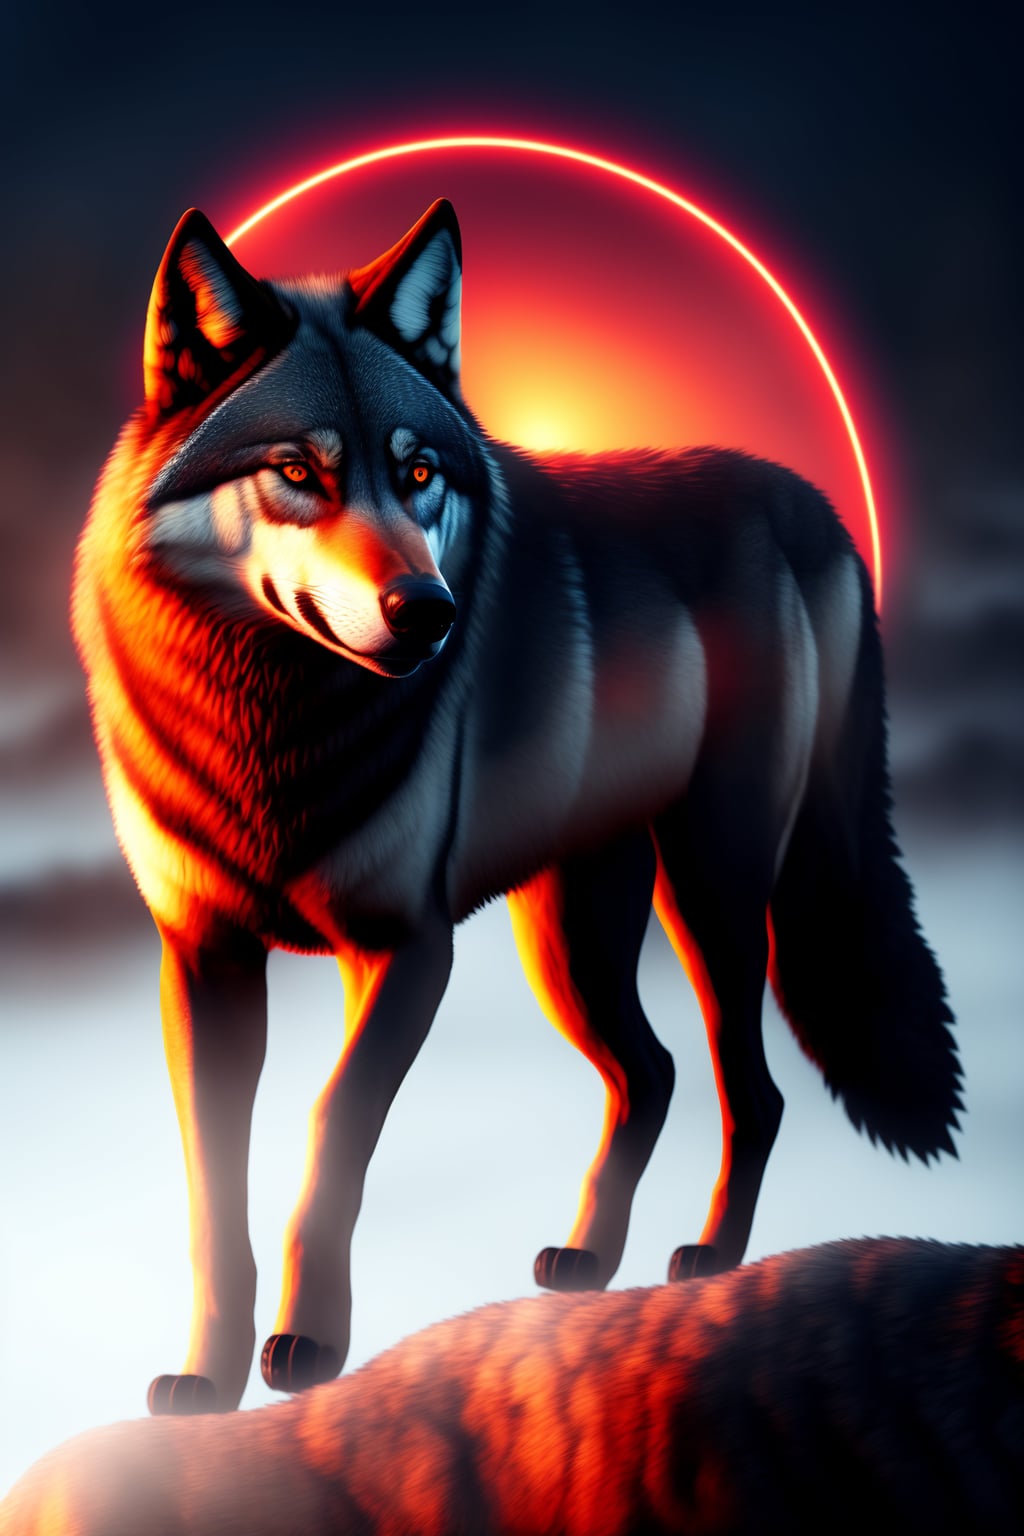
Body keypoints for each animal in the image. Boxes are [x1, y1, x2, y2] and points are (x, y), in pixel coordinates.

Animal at [71, 197, 960, 1413]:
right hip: (571, 938)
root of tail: (808, 502)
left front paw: (310, 1347)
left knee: (753, 1087)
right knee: (653, 1072)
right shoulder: (204, 957)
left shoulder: (406, 948)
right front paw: (206, 1375)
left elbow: (330, 1130)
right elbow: (216, 1183)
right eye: (298, 469)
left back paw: (707, 1262)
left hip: (714, 892)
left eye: (418, 473)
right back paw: (588, 1261)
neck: (267, 723)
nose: (430, 609)